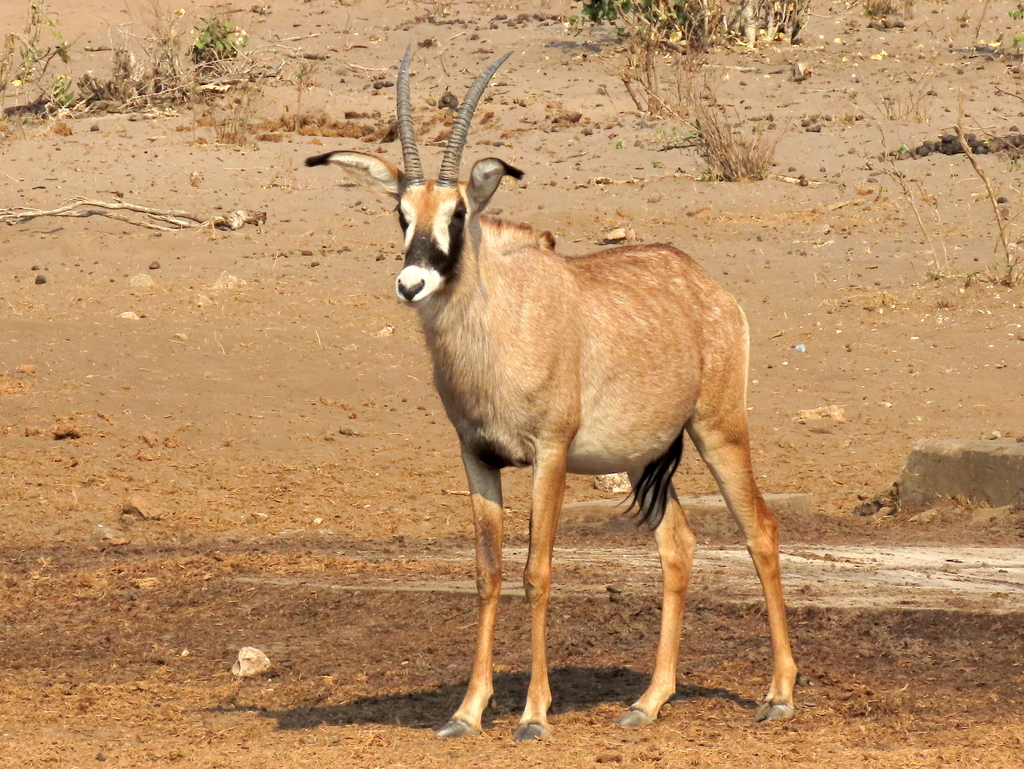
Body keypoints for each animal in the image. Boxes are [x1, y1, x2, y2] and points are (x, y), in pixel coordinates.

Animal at [306, 49, 798, 742]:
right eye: (401, 214)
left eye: (459, 213)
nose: (411, 283)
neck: (503, 320)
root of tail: (708, 288)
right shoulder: (477, 458)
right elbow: (487, 572)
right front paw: (467, 711)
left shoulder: (550, 454)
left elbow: (536, 572)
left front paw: (534, 714)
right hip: (644, 459)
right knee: (677, 546)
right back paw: (648, 702)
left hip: (719, 429)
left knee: (761, 531)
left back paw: (778, 694)